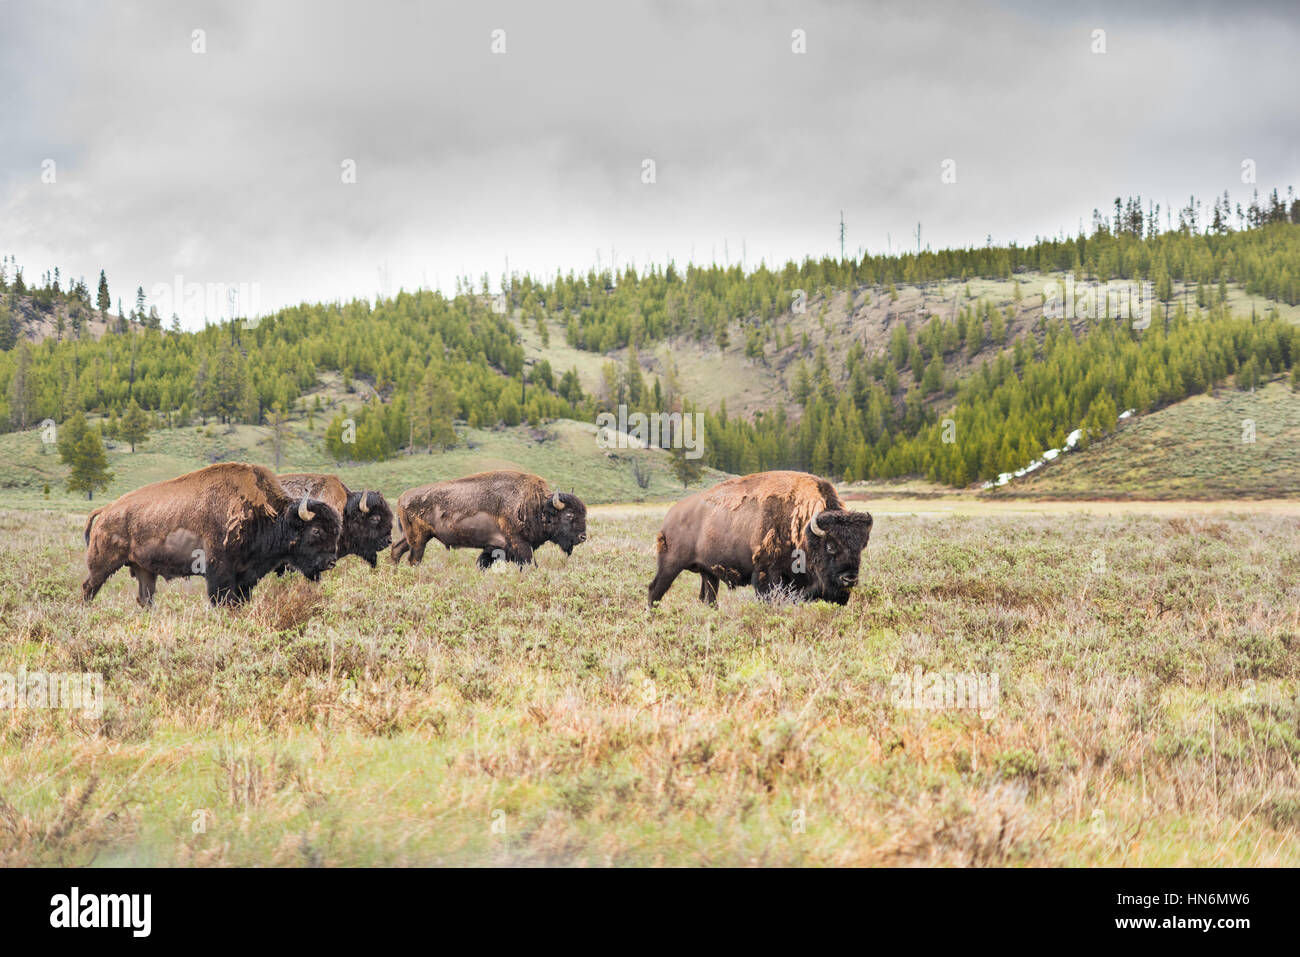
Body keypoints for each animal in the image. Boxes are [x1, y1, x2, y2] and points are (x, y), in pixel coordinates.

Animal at [82, 463, 342, 606]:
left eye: (337, 531)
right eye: (316, 530)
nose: (331, 562)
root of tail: (105, 510)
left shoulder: (245, 576)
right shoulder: (220, 572)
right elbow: (221, 599)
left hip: (144, 570)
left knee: (145, 598)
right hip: (103, 564)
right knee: (88, 588)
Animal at [390, 470, 587, 568]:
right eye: (569, 515)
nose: (583, 536)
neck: (536, 505)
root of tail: (402, 497)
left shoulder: (492, 547)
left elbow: (482, 563)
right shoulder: (520, 544)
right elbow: (531, 564)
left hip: (411, 537)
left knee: (397, 549)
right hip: (419, 539)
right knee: (414, 558)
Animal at [648, 470, 872, 607]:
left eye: (861, 547)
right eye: (831, 546)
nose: (849, 578)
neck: (805, 529)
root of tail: (670, 516)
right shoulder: (767, 575)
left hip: (708, 572)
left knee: (708, 598)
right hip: (670, 564)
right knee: (655, 590)